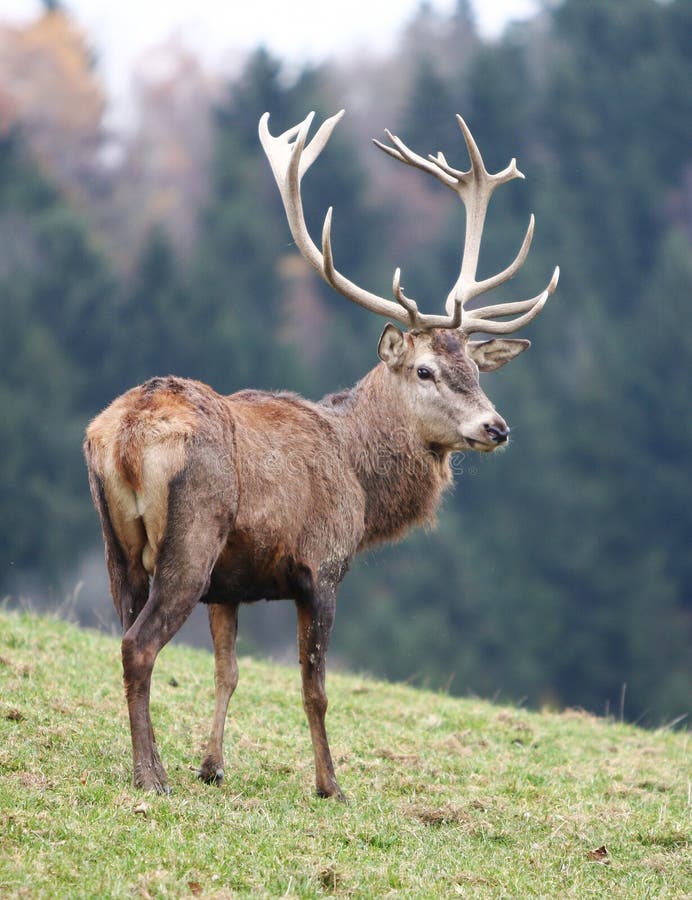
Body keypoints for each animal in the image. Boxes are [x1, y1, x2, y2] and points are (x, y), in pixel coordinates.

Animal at [84, 109, 559, 800]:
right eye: (424, 370)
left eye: (474, 369)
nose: (495, 427)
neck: (361, 480)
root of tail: (124, 434)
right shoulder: (322, 565)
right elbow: (315, 689)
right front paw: (331, 783)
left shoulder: (231, 584)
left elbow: (228, 671)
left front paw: (213, 765)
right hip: (191, 539)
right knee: (138, 645)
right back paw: (151, 775)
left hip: (116, 546)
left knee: (123, 632)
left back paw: (150, 763)